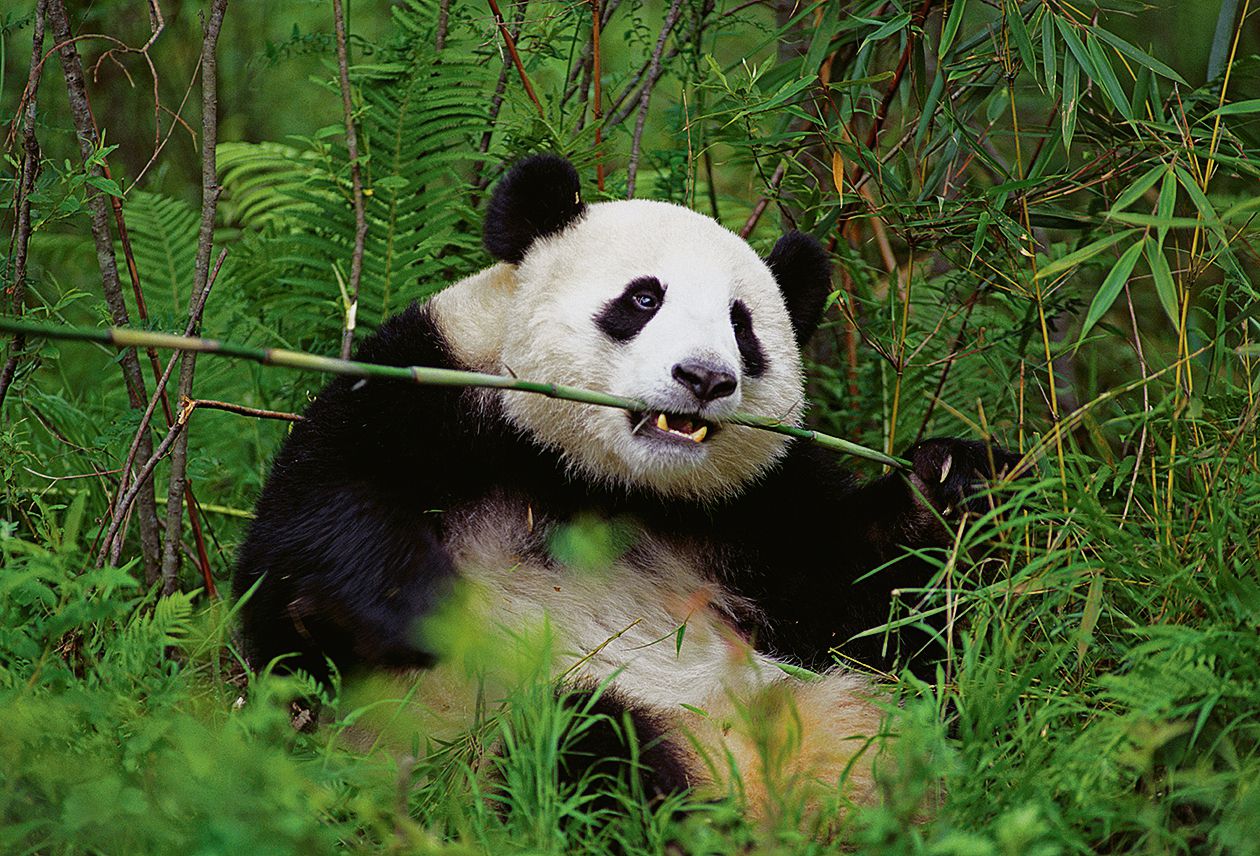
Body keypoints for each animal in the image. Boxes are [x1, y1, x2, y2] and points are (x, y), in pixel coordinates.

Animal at [234, 154, 1015, 816]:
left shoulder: (753, 508)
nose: (704, 378)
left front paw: (957, 483)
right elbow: (308, 534)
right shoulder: (428, 389)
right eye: (643, 298)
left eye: (742, 326)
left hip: (855, 719)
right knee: (582, 743)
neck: (600, 483)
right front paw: (411, 609)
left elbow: (858, 602)